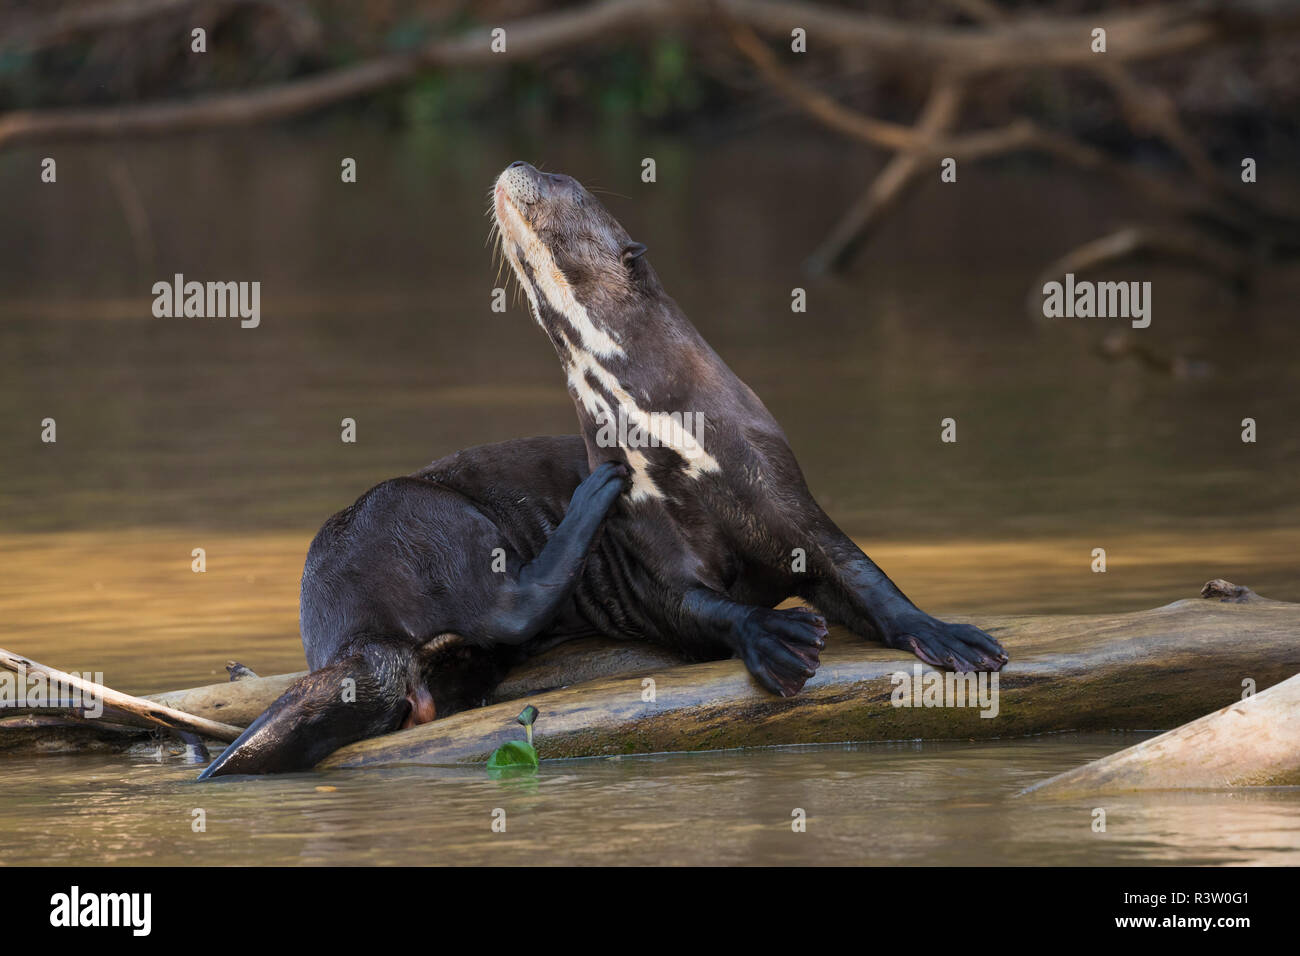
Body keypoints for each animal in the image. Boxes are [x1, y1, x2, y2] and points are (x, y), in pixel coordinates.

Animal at [491, 161, 1007, 696]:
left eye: (561, 181)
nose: (517, 165)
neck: (669, 430)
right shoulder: (645, 531)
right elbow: (694, 605)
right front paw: (772, 635)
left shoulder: (779, 488)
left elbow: (861, 573)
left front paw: (947, 635)